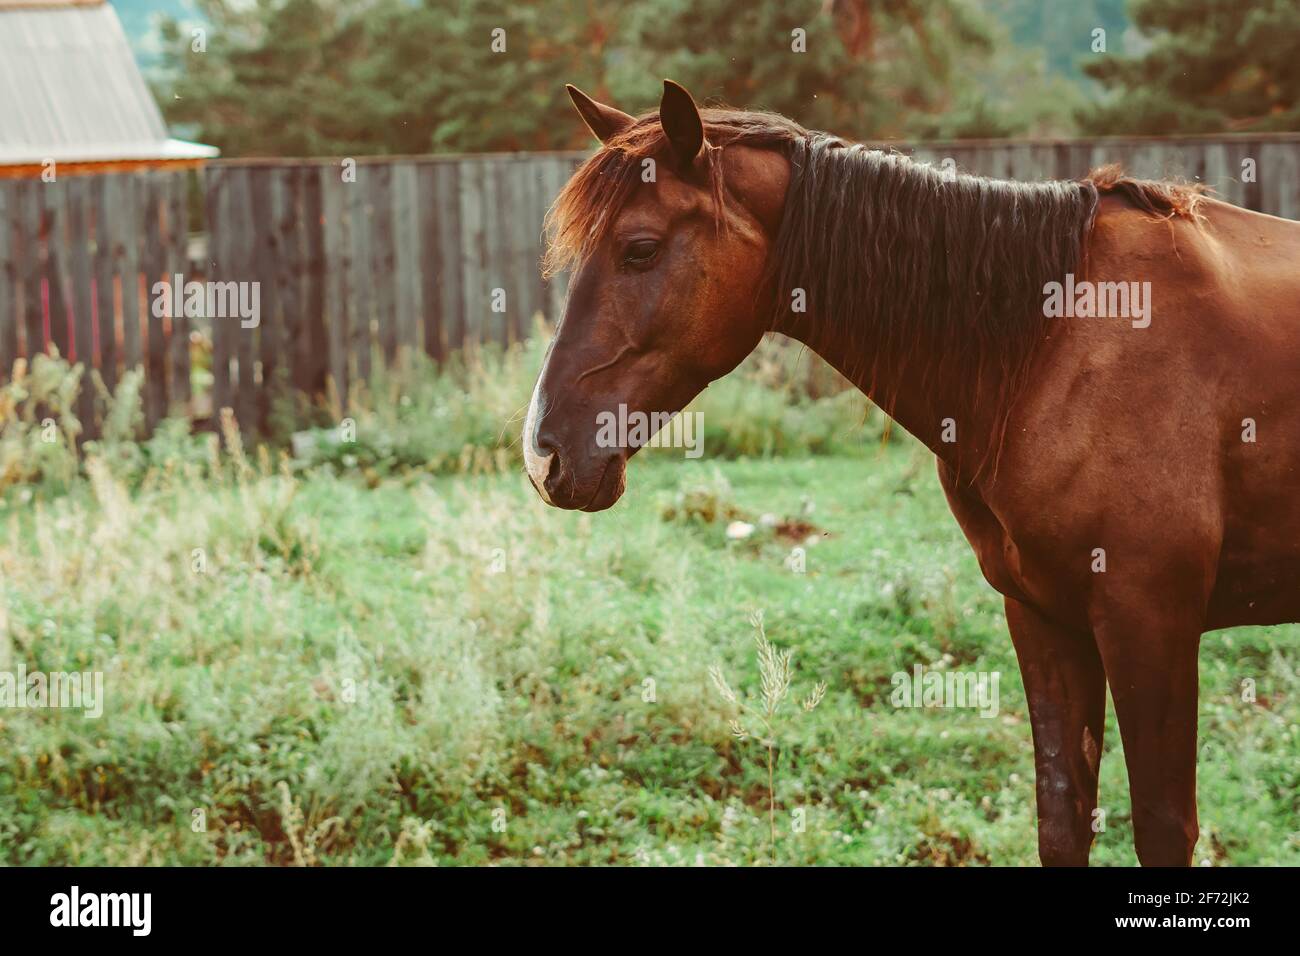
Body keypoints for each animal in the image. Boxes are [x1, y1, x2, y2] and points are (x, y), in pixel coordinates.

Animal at [523, 79, 1300, 866]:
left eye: (640, 250)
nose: (544, 452)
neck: (1054, 343)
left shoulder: (1150, 619)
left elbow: (1163, 826)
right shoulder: (1045, 618)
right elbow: (1062, 816)